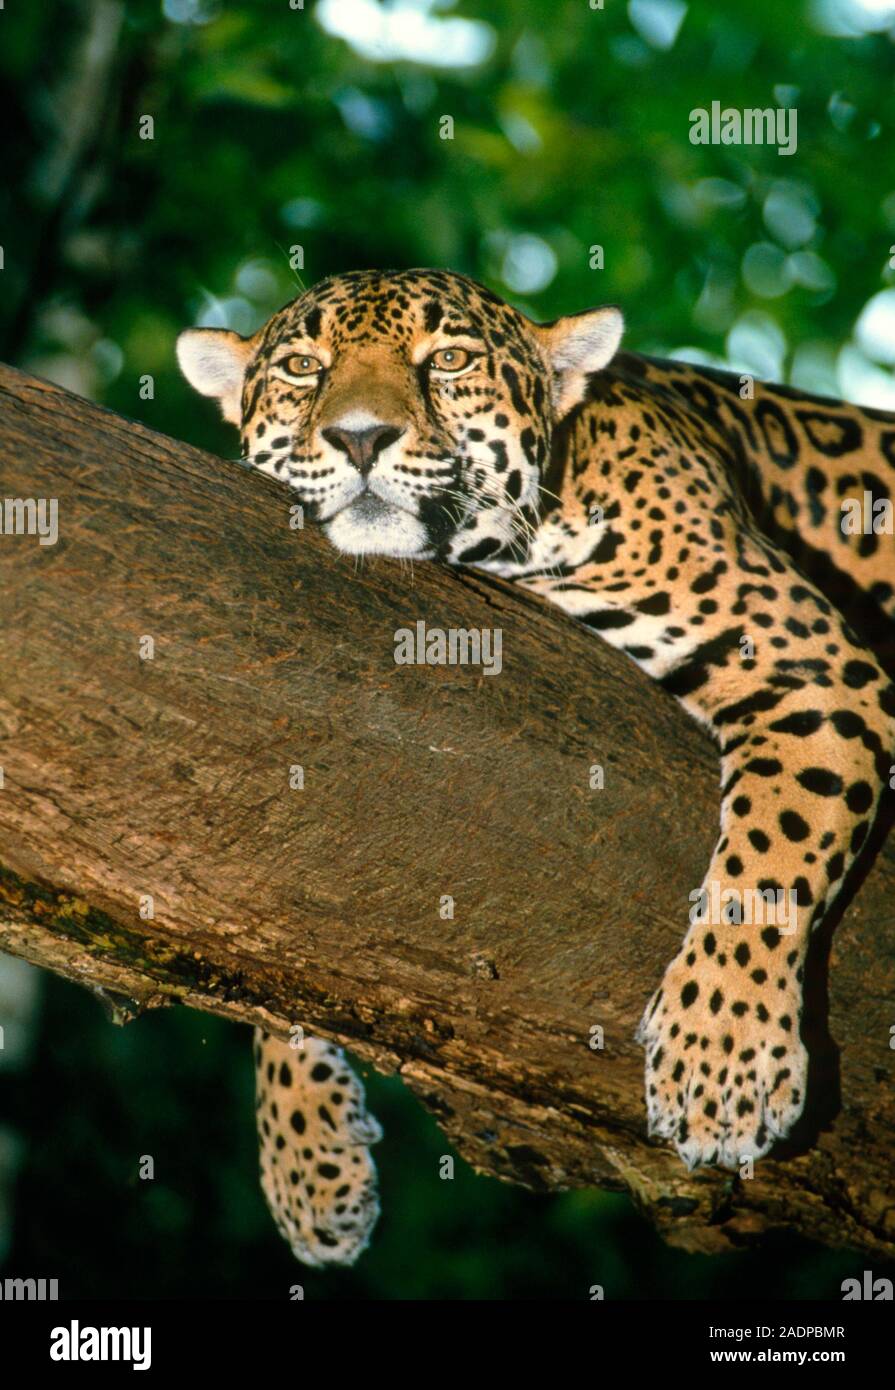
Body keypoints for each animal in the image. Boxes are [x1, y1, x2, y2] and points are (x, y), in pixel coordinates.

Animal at [178, 267, 895, 1266]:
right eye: (301, 368)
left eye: (447, 359)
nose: (357, 436)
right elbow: (265, 933)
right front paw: (308, 1160)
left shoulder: (812, 662)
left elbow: (768, 860)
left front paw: (721, 1058)